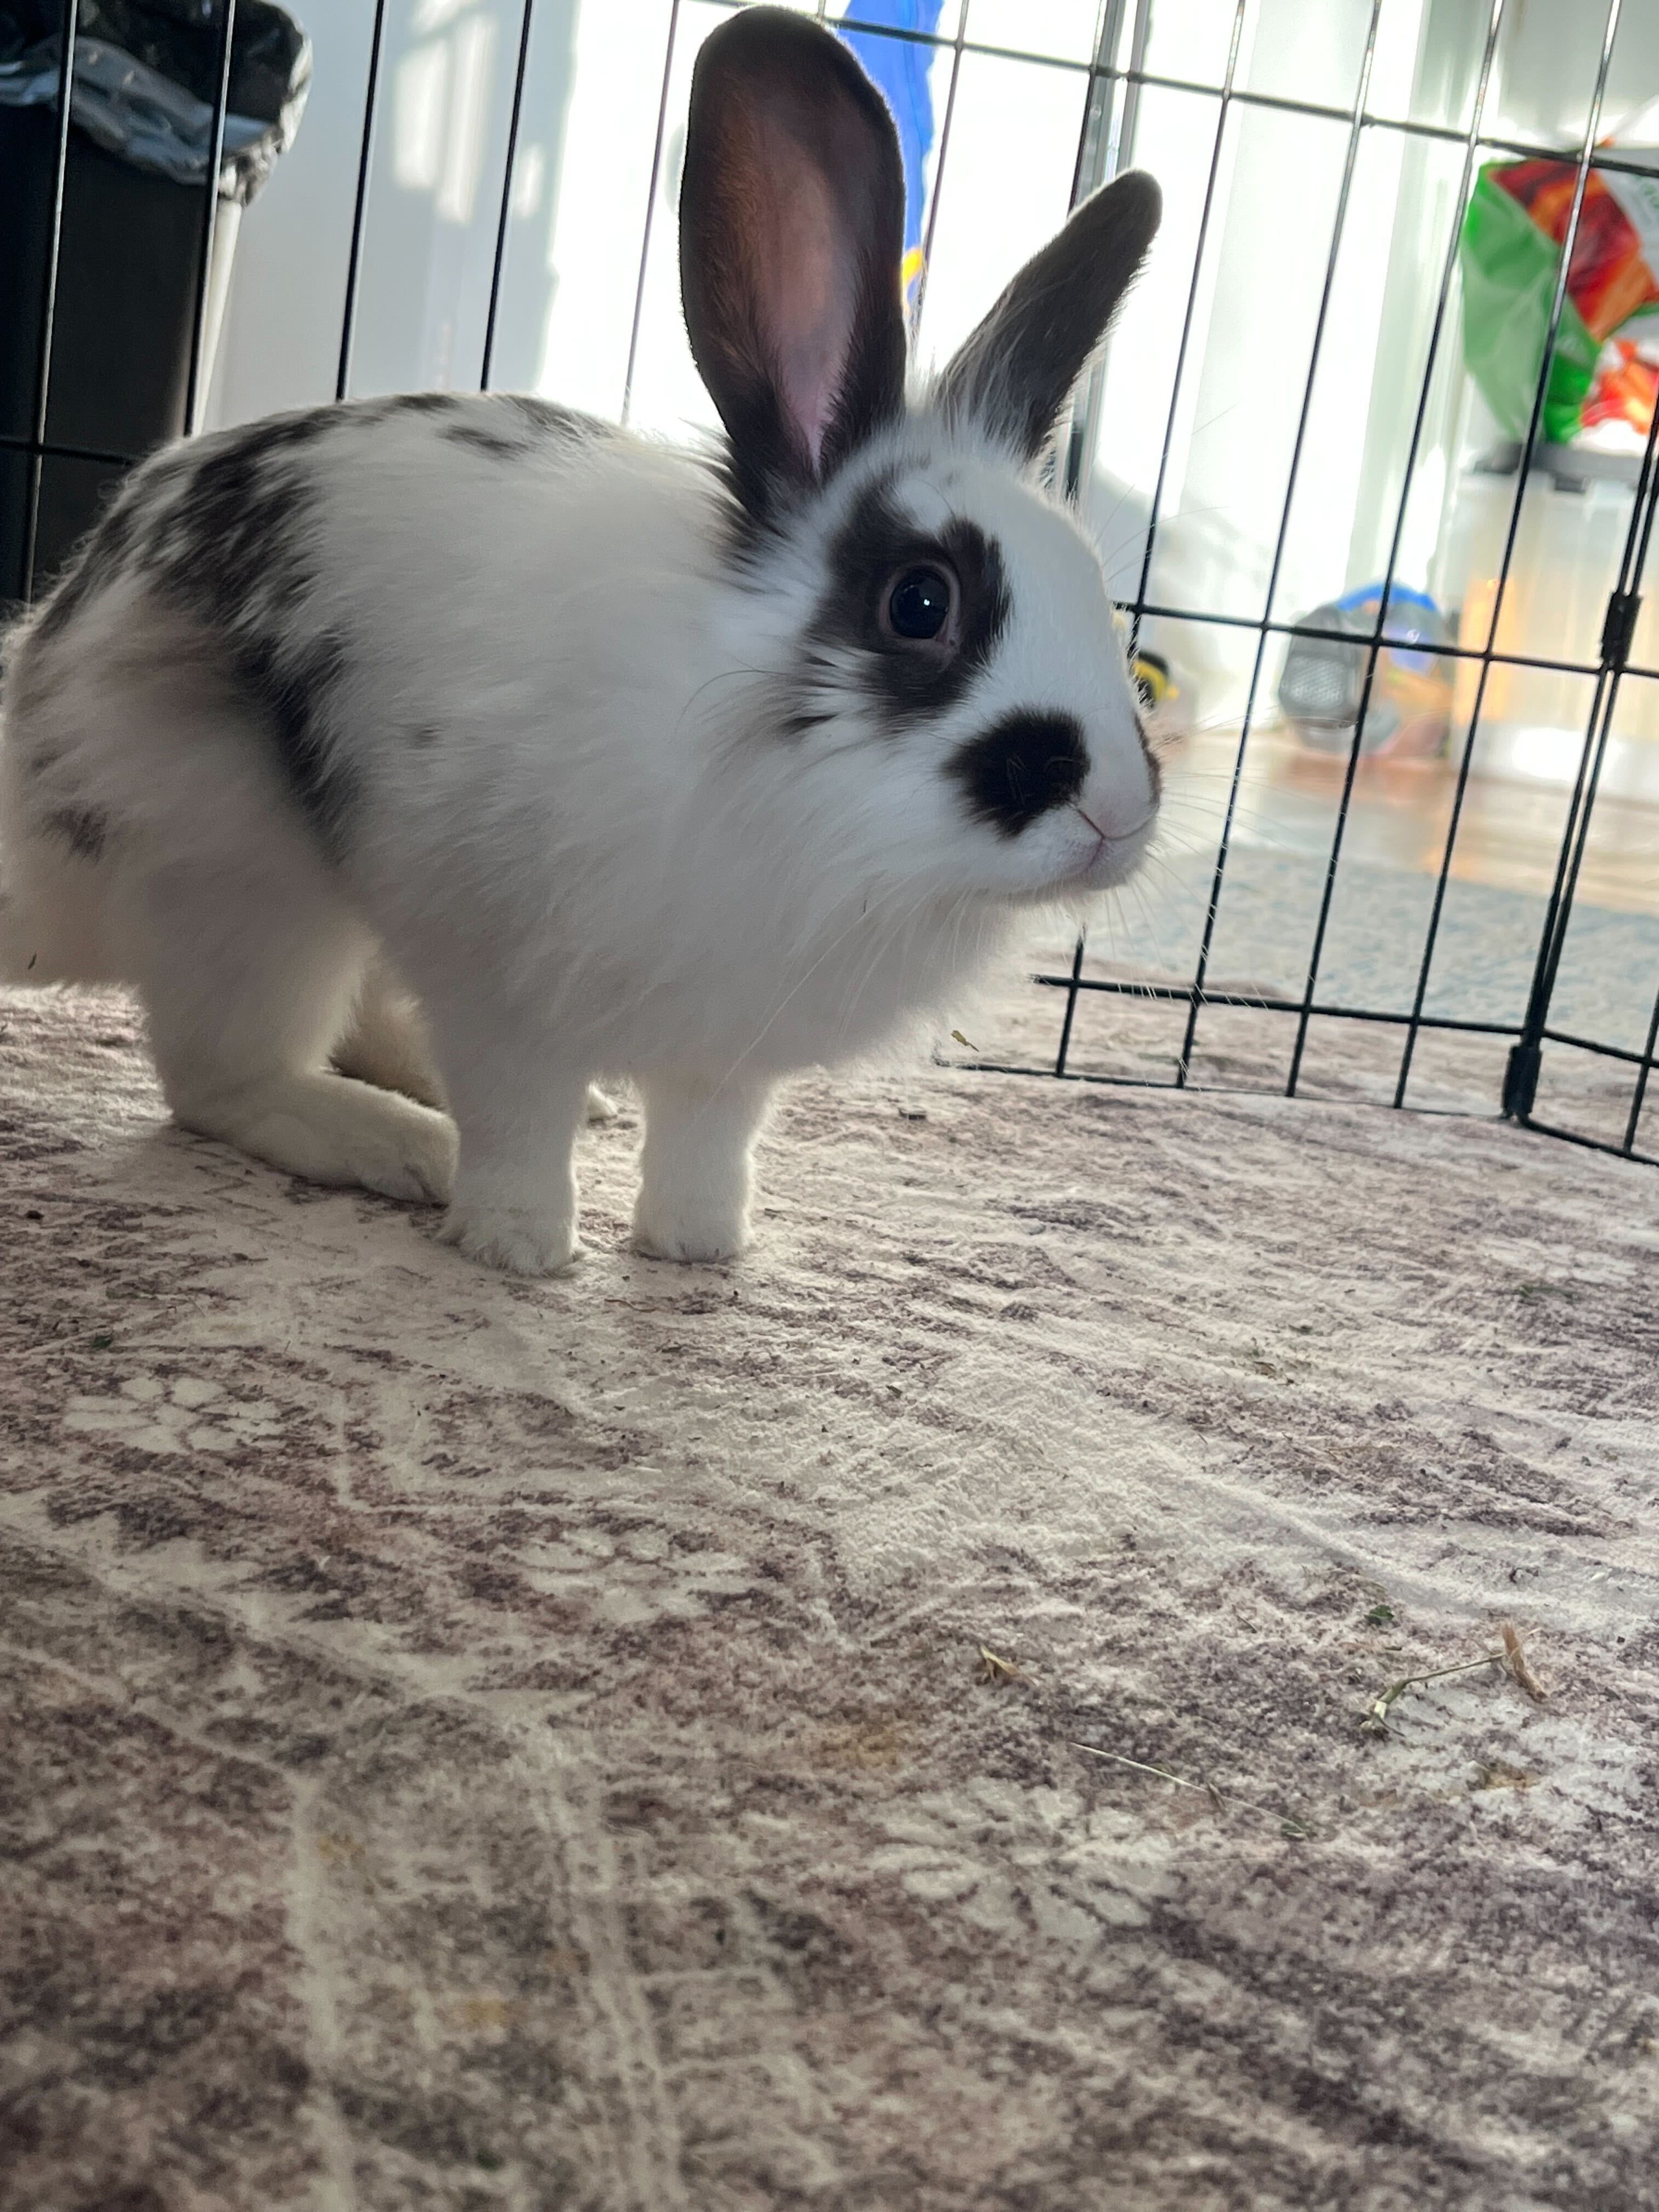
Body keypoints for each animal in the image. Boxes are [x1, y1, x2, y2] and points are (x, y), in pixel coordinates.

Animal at [0, 6, 1161, 1276]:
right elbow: (518, 1118)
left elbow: (706, 1138)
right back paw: (393, 1143)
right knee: (220, 1080)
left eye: (1099, 594)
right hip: (244, 873)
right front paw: (521, 1250)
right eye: (918, 603)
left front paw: (701, 1250)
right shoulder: (503, 990)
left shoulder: (727, 1045)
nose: (1117, 814)